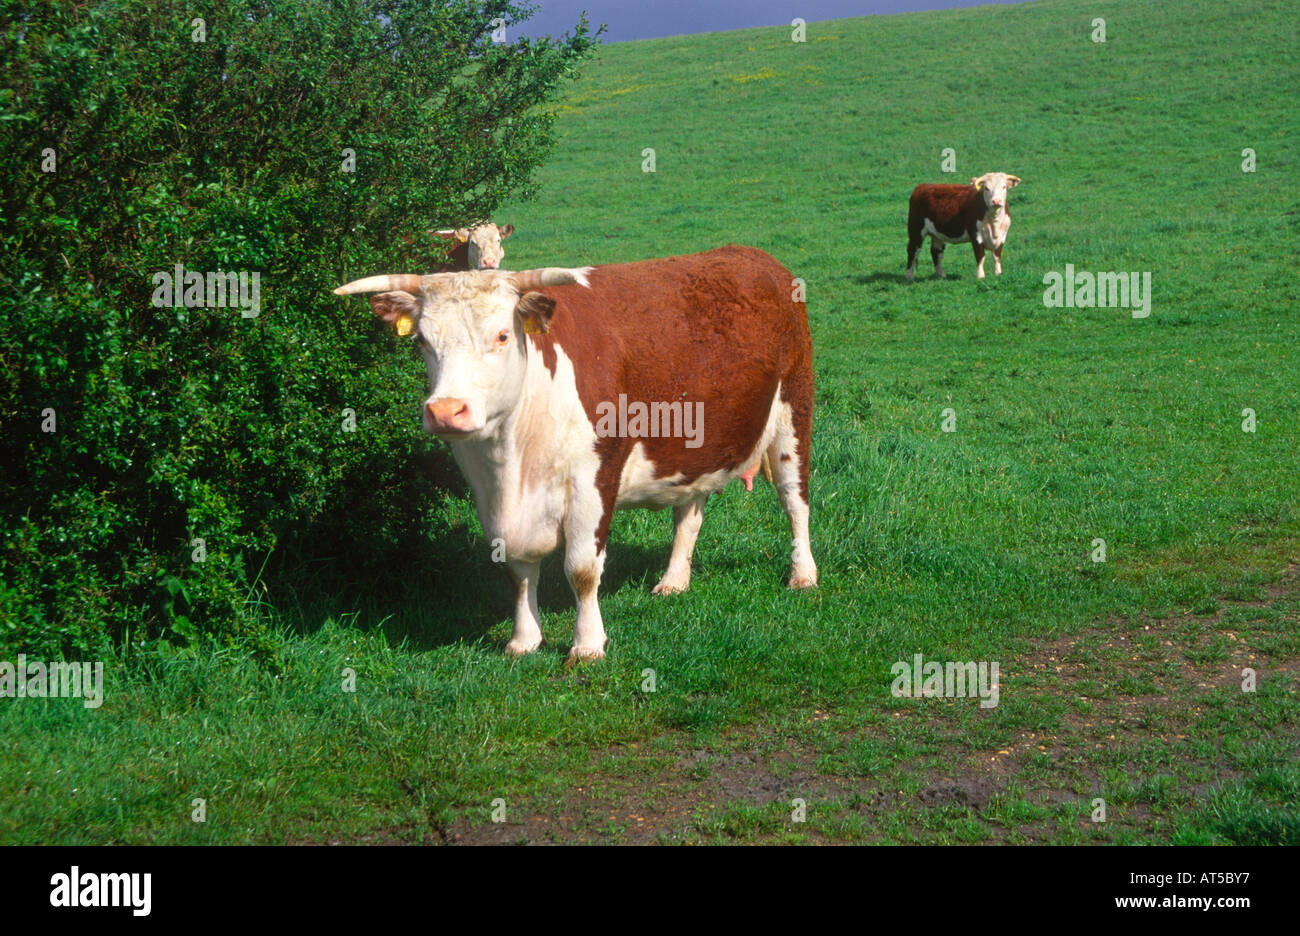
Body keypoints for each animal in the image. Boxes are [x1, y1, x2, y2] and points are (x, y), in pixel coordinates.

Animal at [334, 245, 818, 661]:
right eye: (422, 342)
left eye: (502, 336)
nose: (445, 411)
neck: (514, 457)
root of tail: (751, 255)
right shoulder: (488, 495)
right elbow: (517, 570)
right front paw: (524, 640)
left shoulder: (593, 481)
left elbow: (582, 569)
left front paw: (587, 645)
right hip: (694, 453)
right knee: (689, 513)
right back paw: (674, 581)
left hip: (794, 413)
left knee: (795, 502)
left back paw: (803, 574)